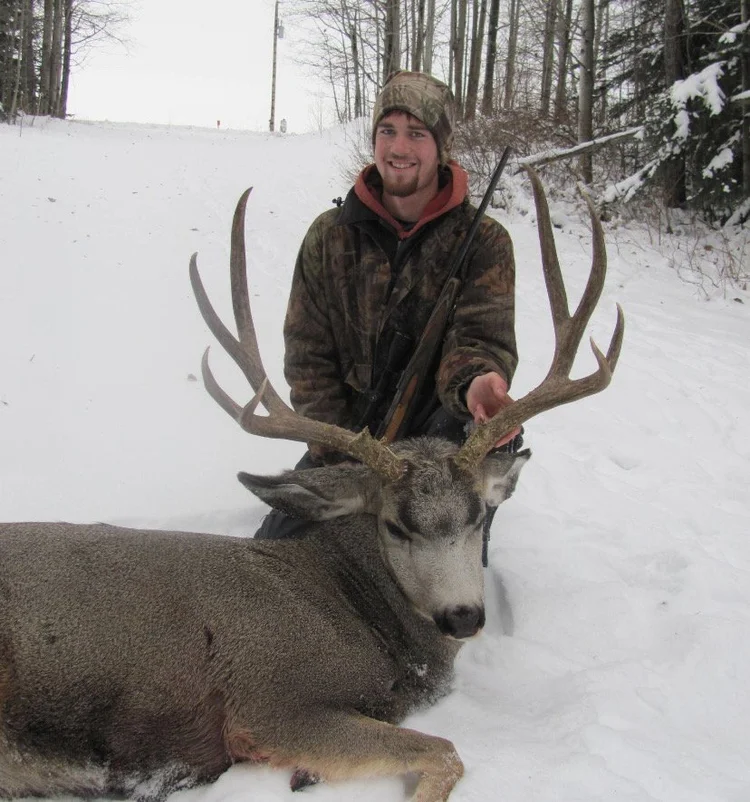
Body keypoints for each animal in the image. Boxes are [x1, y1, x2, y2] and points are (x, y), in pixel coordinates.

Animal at [0, 167, 623, 802]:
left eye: (479, 517)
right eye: (394, 525)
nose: (464, 617)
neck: (356, 611)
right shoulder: (271, 697)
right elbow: (446, 751)